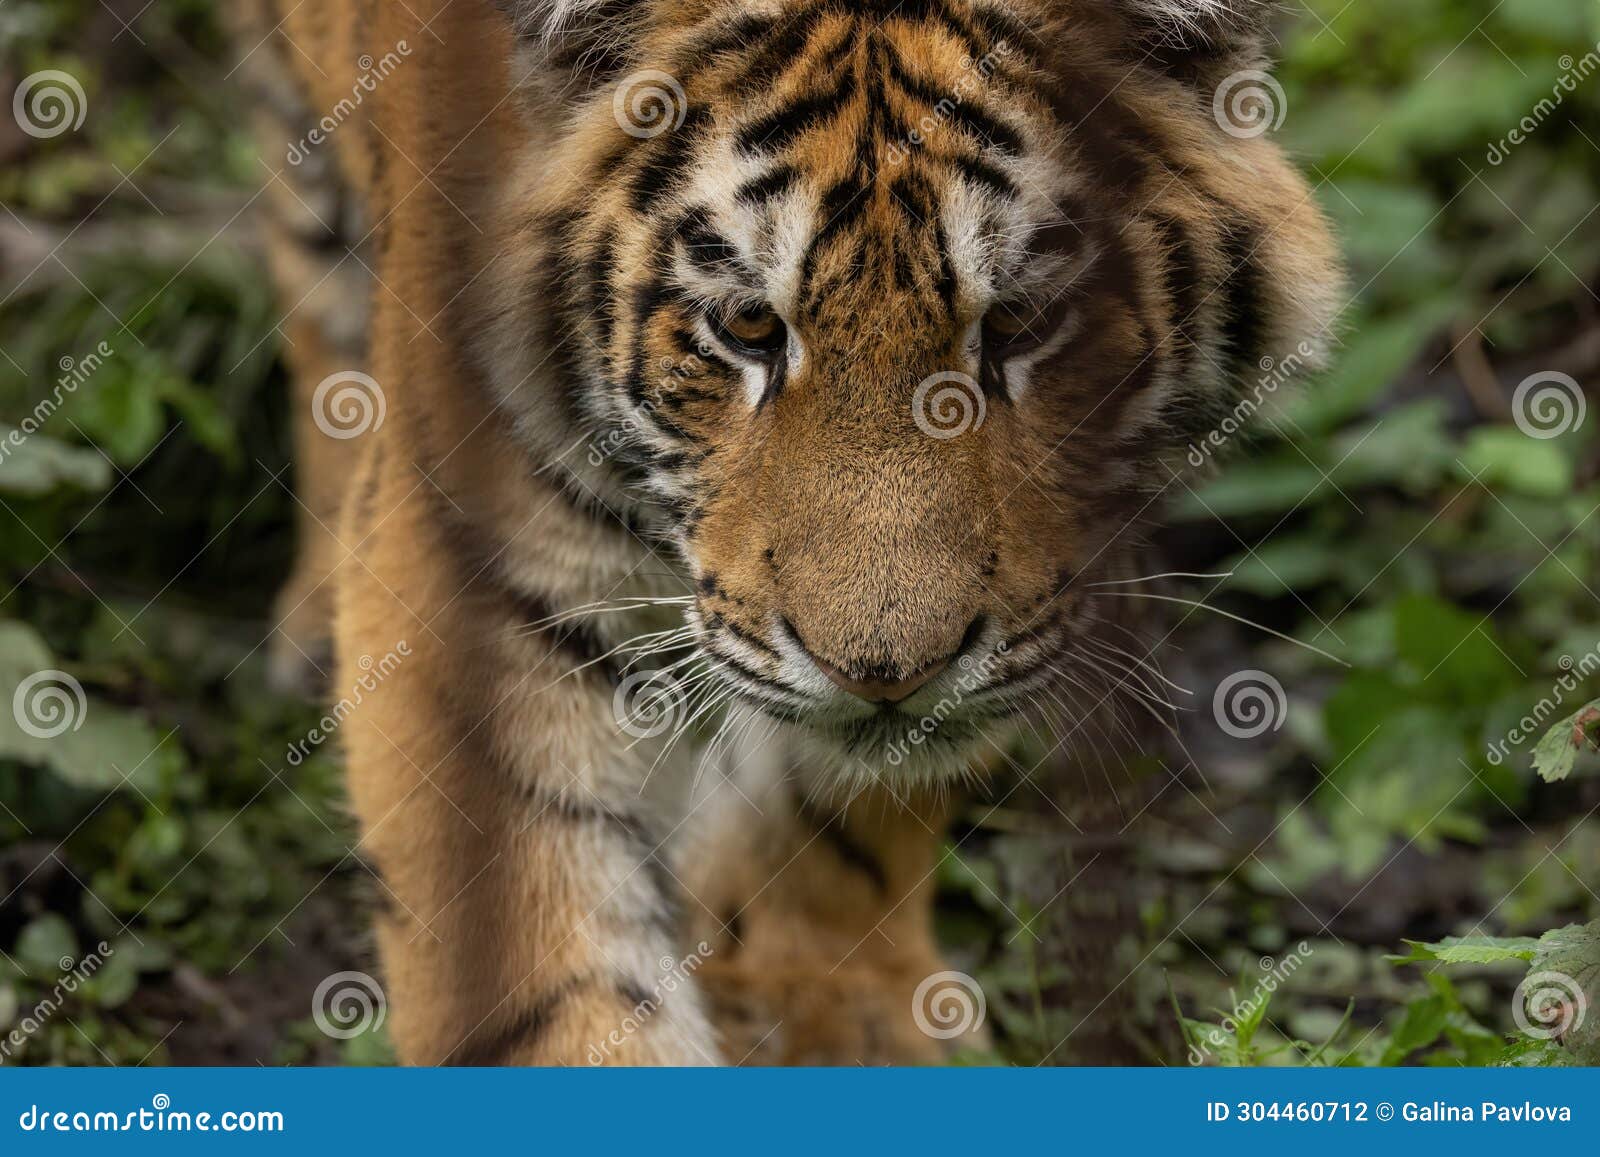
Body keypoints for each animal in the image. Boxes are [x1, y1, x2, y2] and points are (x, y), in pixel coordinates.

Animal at [228, 0, 1341, 1065]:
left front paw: (833, 1004)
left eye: (1023, 320)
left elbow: (839, 808)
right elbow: (557, 992)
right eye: (748, 327)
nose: (889, 671)